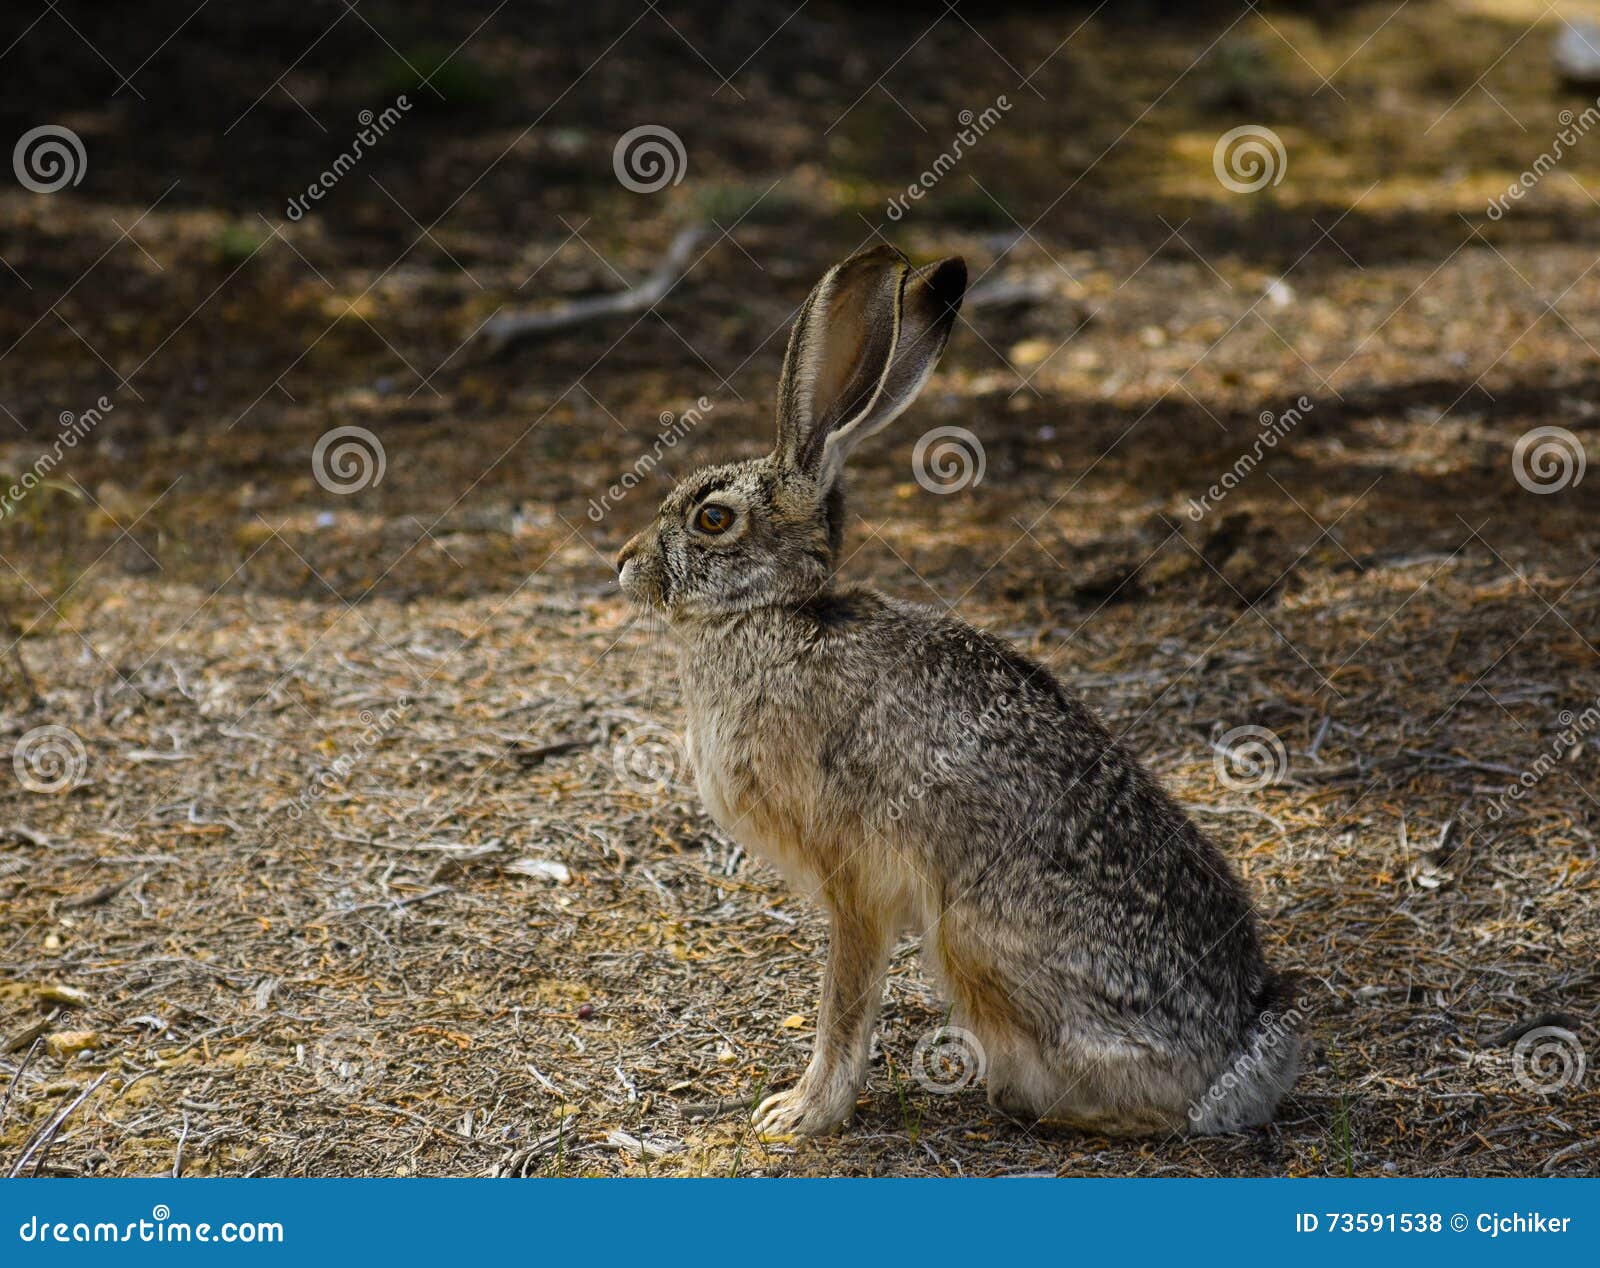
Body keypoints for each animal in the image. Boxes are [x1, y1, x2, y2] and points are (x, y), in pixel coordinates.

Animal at [615, 245, 1301, 1139]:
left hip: (974, 934)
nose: (623, 564)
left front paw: (800, 1113)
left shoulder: (856, 878)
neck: (771, 613)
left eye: (712, 520)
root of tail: (1241, 1056)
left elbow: (846, 1000)